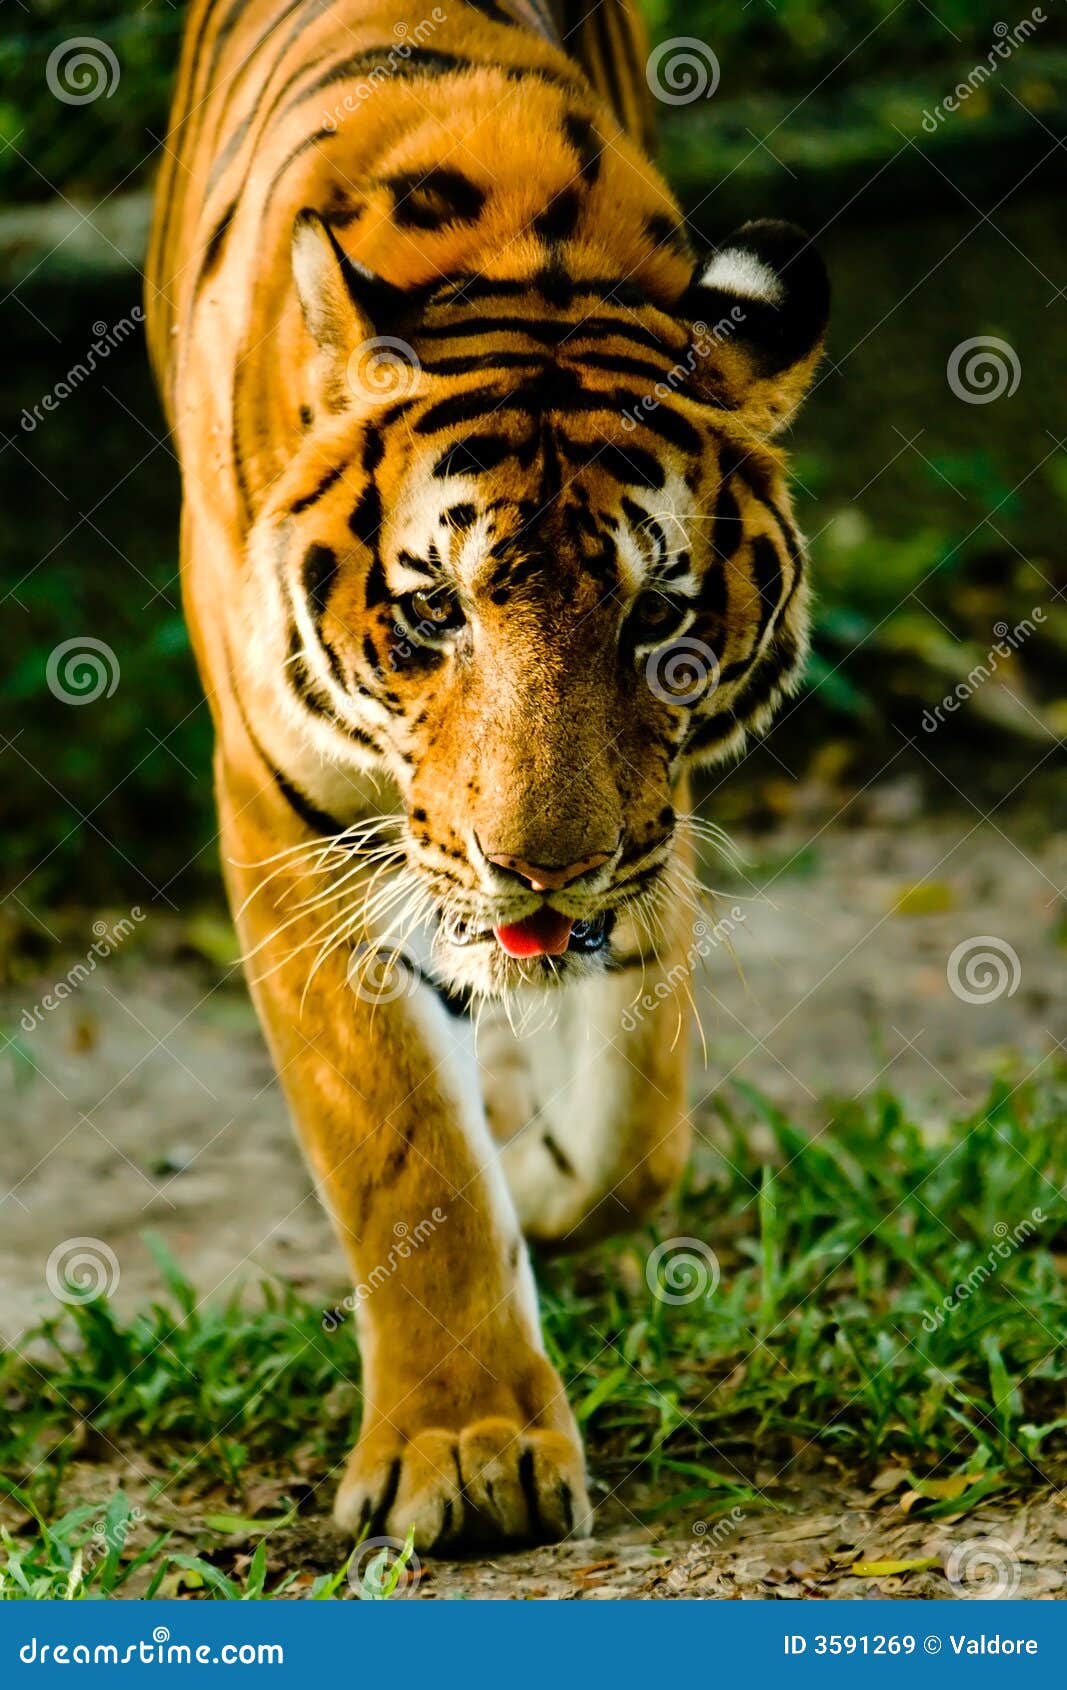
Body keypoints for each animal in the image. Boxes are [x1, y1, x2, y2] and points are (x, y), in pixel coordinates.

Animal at [145, 0, 828, 1552]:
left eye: (656, 618)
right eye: (430, 612)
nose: (539, 869)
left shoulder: (648, 827)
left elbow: (638, 1116)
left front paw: (547, 1182)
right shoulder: (291, 820)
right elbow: (403, 1148)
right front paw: (464, 1451)